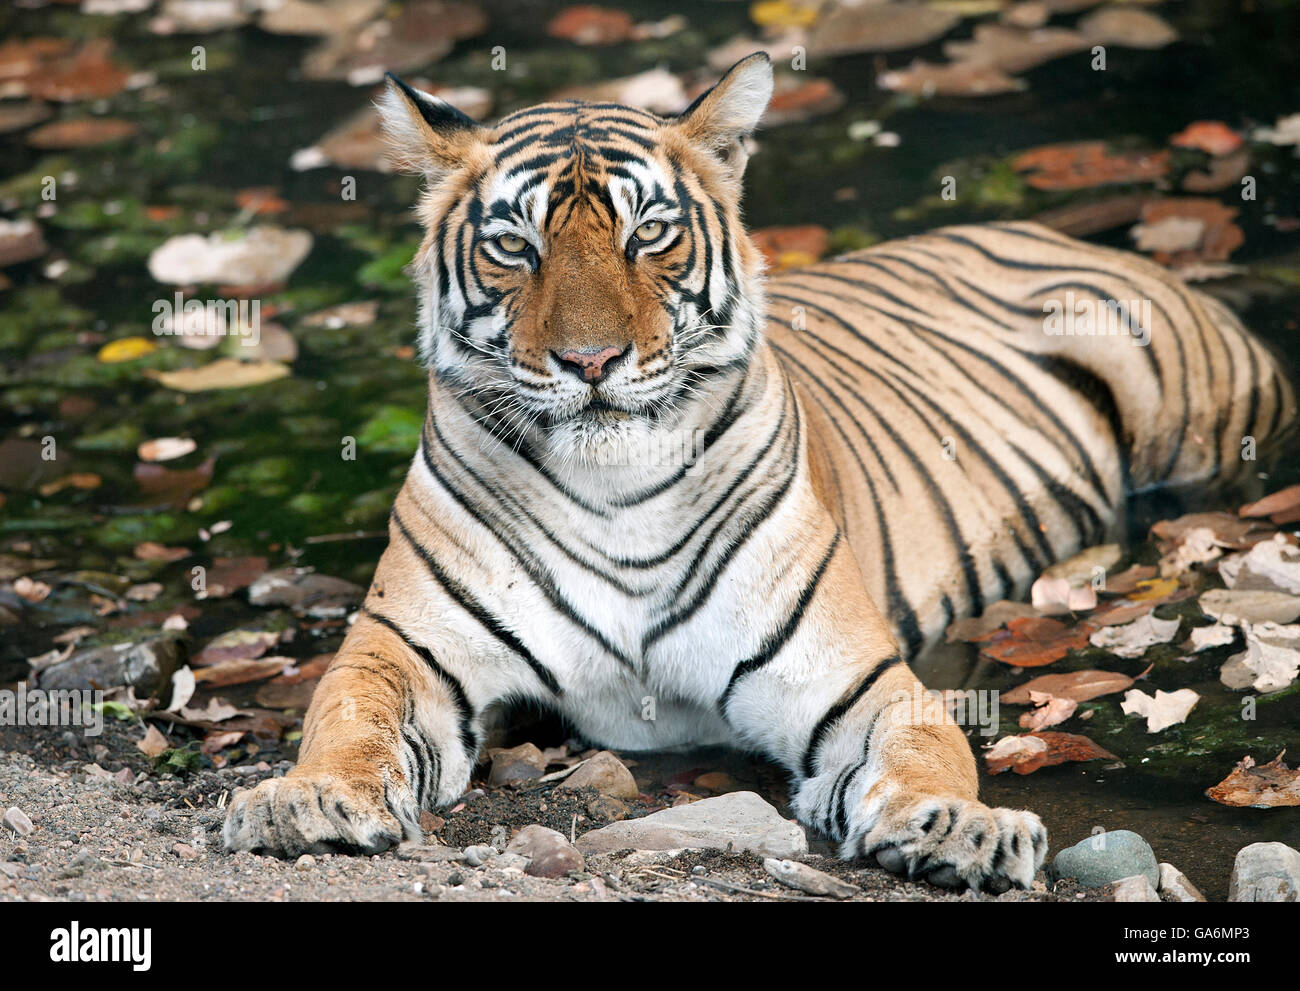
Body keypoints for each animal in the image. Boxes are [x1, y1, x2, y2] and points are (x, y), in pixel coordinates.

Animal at [223, 53, 1295, 891]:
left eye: (647, 234)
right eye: (515, 247)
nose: (590, 361)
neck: (615, 492)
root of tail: (1055, 231)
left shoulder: (857, 677)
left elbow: (929, 746)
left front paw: (962, 828)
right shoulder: (404, 646)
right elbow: (346, 716)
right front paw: (305, 798)